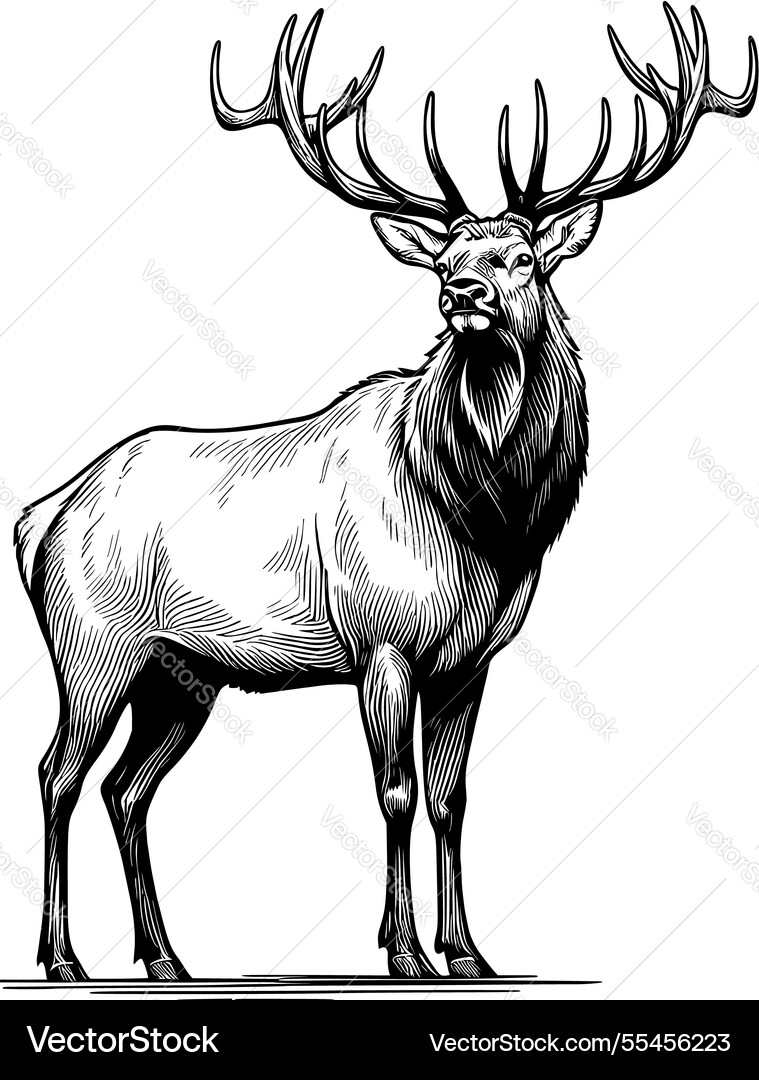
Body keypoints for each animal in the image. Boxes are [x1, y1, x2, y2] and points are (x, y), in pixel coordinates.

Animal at [15, 5, 756, 982]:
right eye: (444, 258)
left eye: (523, 256)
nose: (461, 292)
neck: (484, 521)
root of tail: (40, 517)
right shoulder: (383, 642)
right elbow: (396, 791)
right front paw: (403, 952)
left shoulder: (471, 659)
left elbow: (451, 798)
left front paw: (469, 954)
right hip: (93, 646)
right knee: (57, 773)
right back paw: (64, 957)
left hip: (184, 677)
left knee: (126, 789)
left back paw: (167, 958)